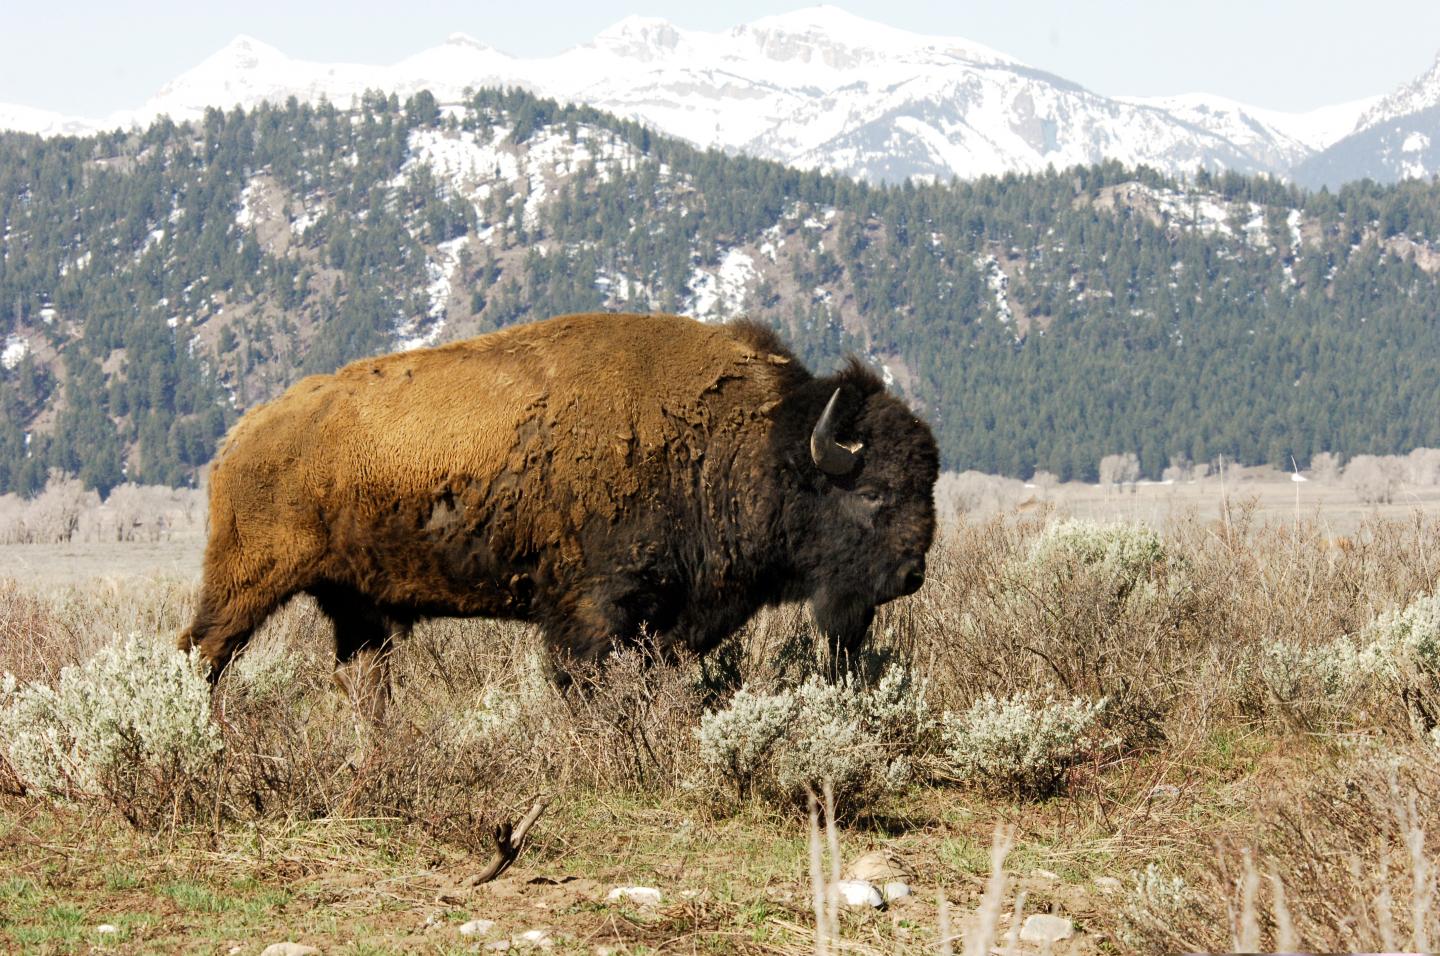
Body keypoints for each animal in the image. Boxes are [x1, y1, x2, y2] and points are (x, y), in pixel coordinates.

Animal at [179, 312, 939, 718]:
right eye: (874, 493)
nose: (911, 574)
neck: (747, 439)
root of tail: (244, 434)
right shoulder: (593, 613)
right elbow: (589, 685)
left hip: (358, 607)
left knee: (364, 676)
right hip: (248, 580)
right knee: (204, 652)